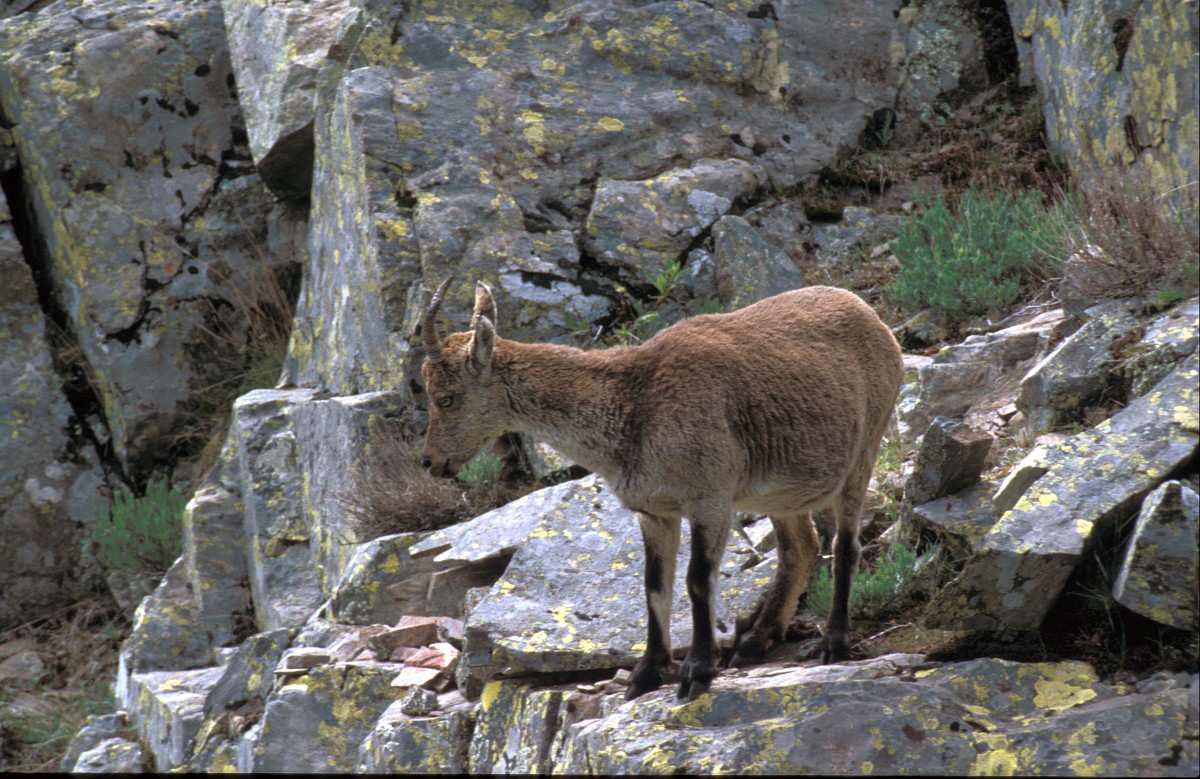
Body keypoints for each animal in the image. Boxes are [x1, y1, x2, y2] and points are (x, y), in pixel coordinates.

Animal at [418, 277, 903, 700]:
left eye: (446, 397)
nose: (430, 461)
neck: (635, 402)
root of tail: (868, 314)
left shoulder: (709, 499)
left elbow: (697, 580)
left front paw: (696, 672)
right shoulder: (654, 511)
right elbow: (655, 586)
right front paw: (646, 674)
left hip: (863, 450)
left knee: (844, 545)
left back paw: (833, 642)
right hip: (780, 493)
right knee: (800, 547)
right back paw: (754, 642)